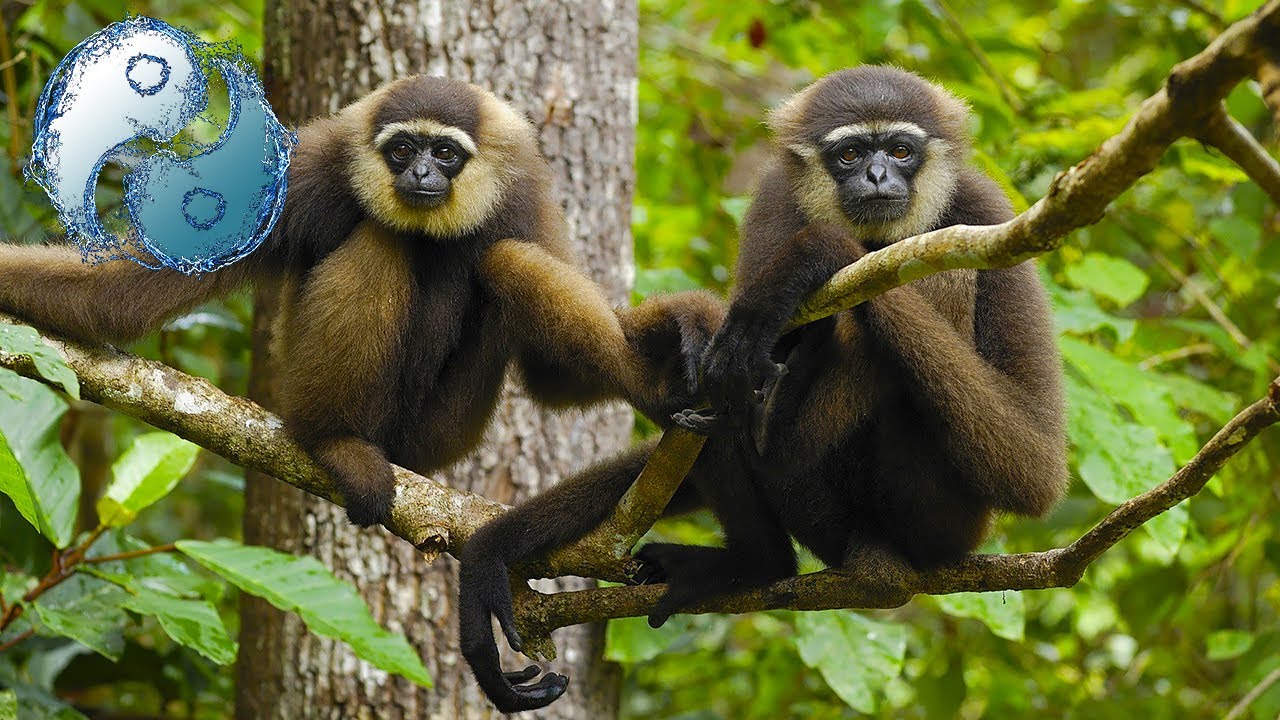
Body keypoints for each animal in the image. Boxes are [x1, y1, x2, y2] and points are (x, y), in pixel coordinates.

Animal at [0, 75, 717, 532]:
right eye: (402, 148)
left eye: (445, 153)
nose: (420, 173)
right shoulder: (308, 173)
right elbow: (122, 295)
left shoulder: (527, 201)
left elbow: (553, 381)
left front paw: (672, 323)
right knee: (381, 244)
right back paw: (334, 440)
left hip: (437, 436)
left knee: (504, 260)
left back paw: (660, 395)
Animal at [457, 65, 1068, 713]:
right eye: (850, 154)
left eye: (901, 151)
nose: (878, 175)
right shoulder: (776, 198)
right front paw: (492, 551)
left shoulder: (985, 209)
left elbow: (1033, 469)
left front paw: (814, 255)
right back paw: (757, 558)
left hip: (946, 523)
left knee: (937, 284)